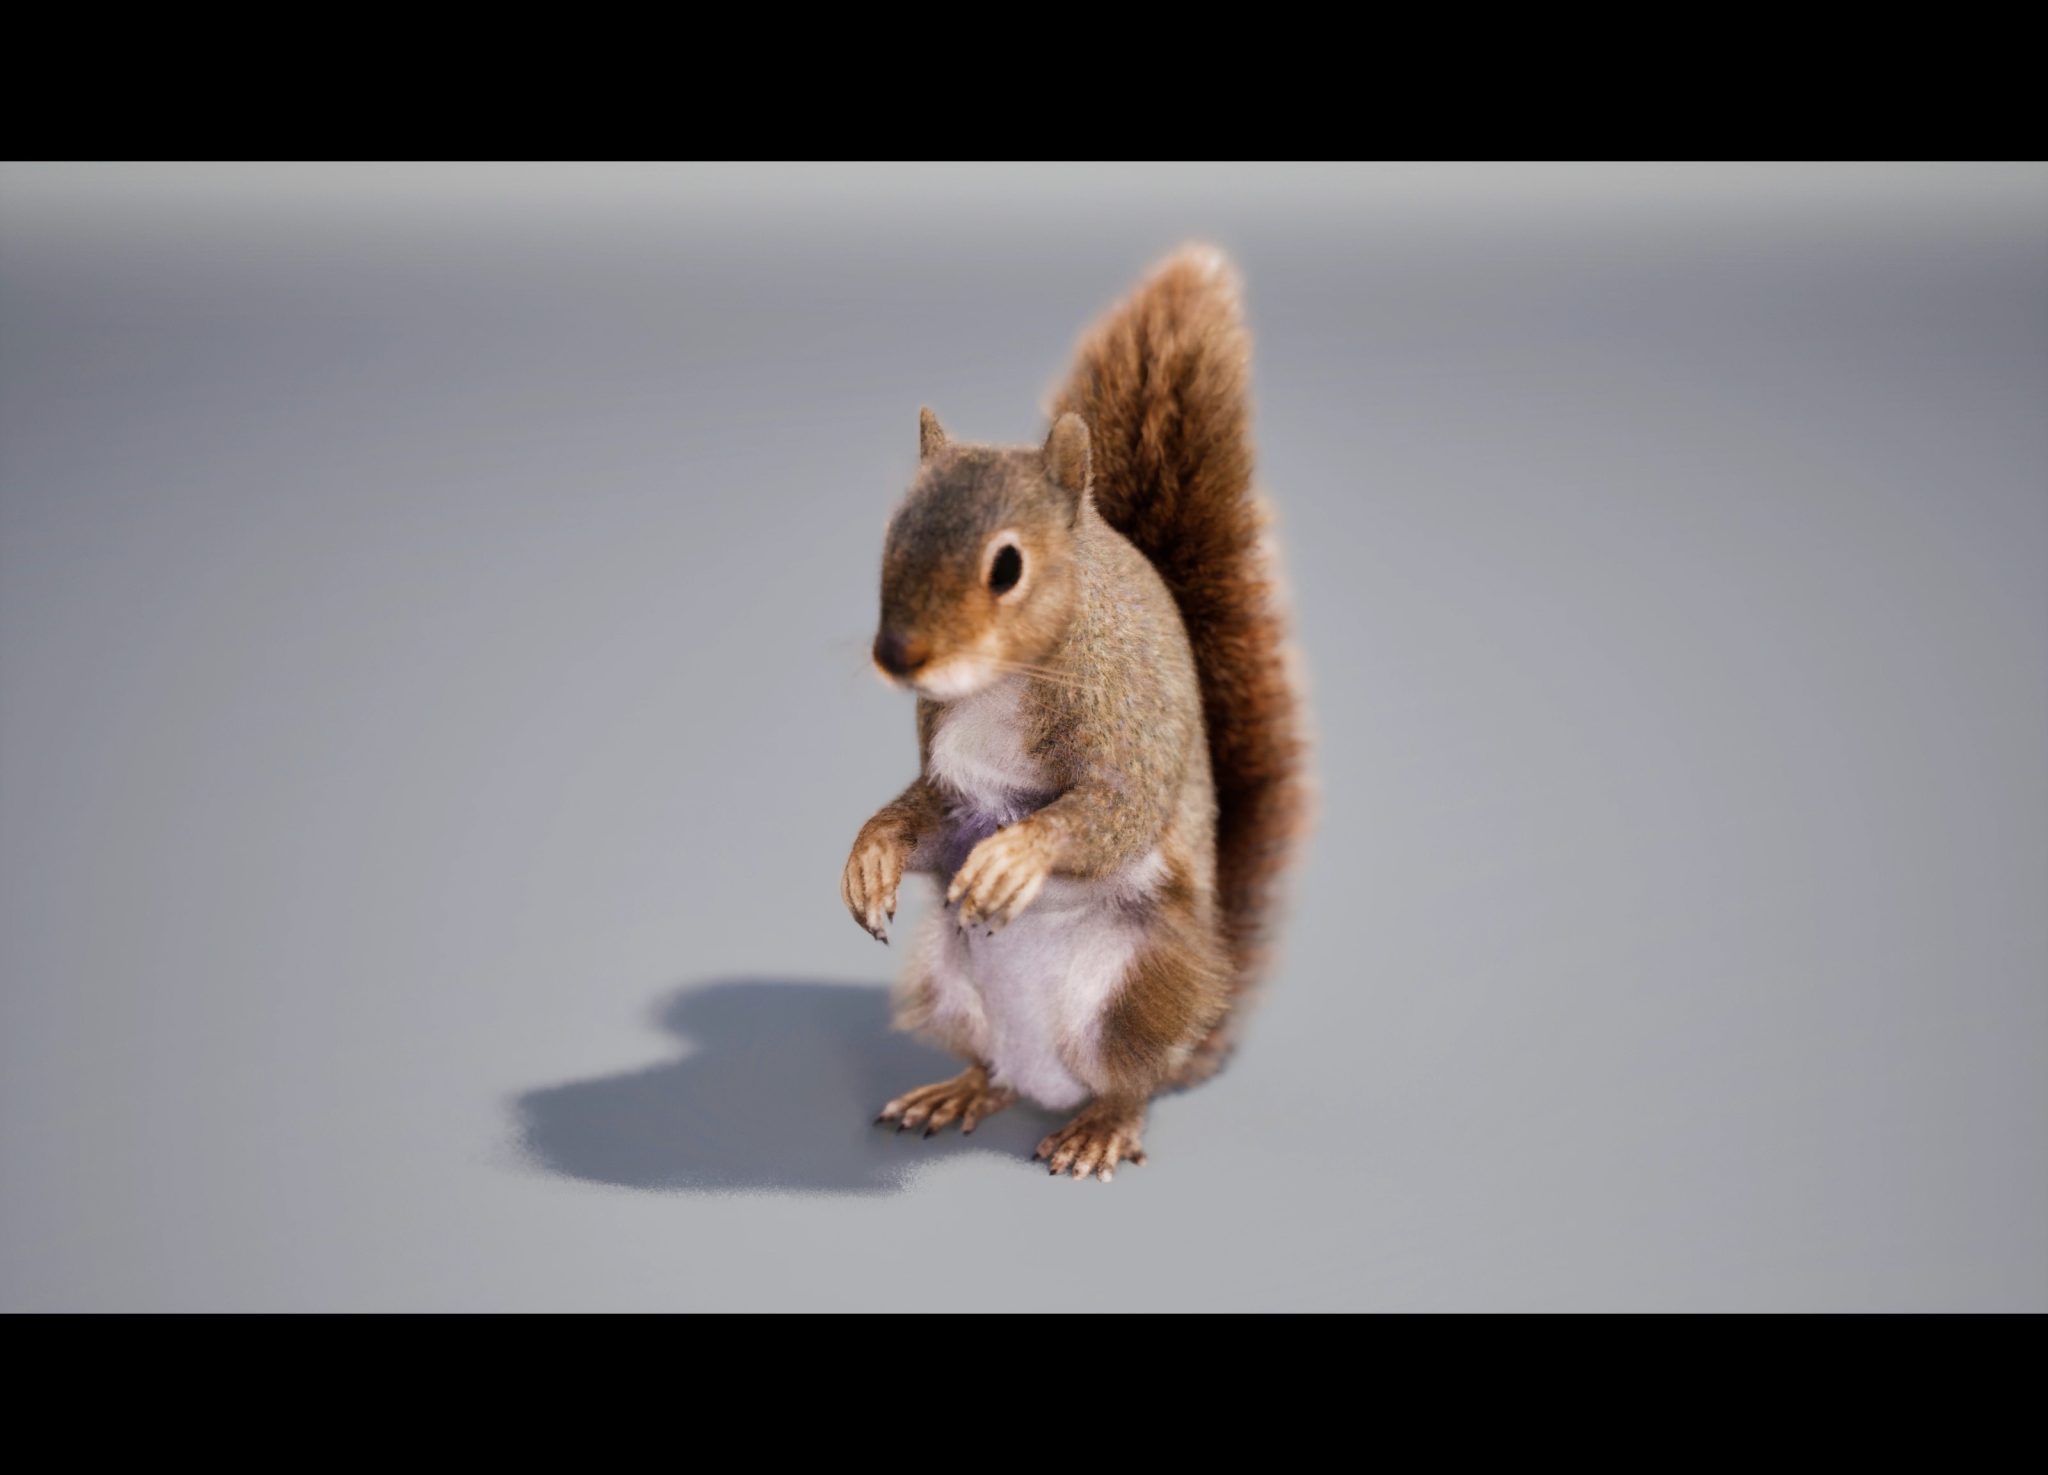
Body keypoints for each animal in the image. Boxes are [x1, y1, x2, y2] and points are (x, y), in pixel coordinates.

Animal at [840, 244, 1309, 1182]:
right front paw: (870, 855)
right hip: (951, 987)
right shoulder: (950, 769)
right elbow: (929, 817)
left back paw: (1100, 1126)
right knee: (994, 1070)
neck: (1001, 681)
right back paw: (959, 1091)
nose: (897, 654)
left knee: (1133, 1080)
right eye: (892, 536)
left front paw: (1014, 858)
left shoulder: (1131, 723)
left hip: (1131, 998)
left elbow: (1113, 813)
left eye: (1008, 566)